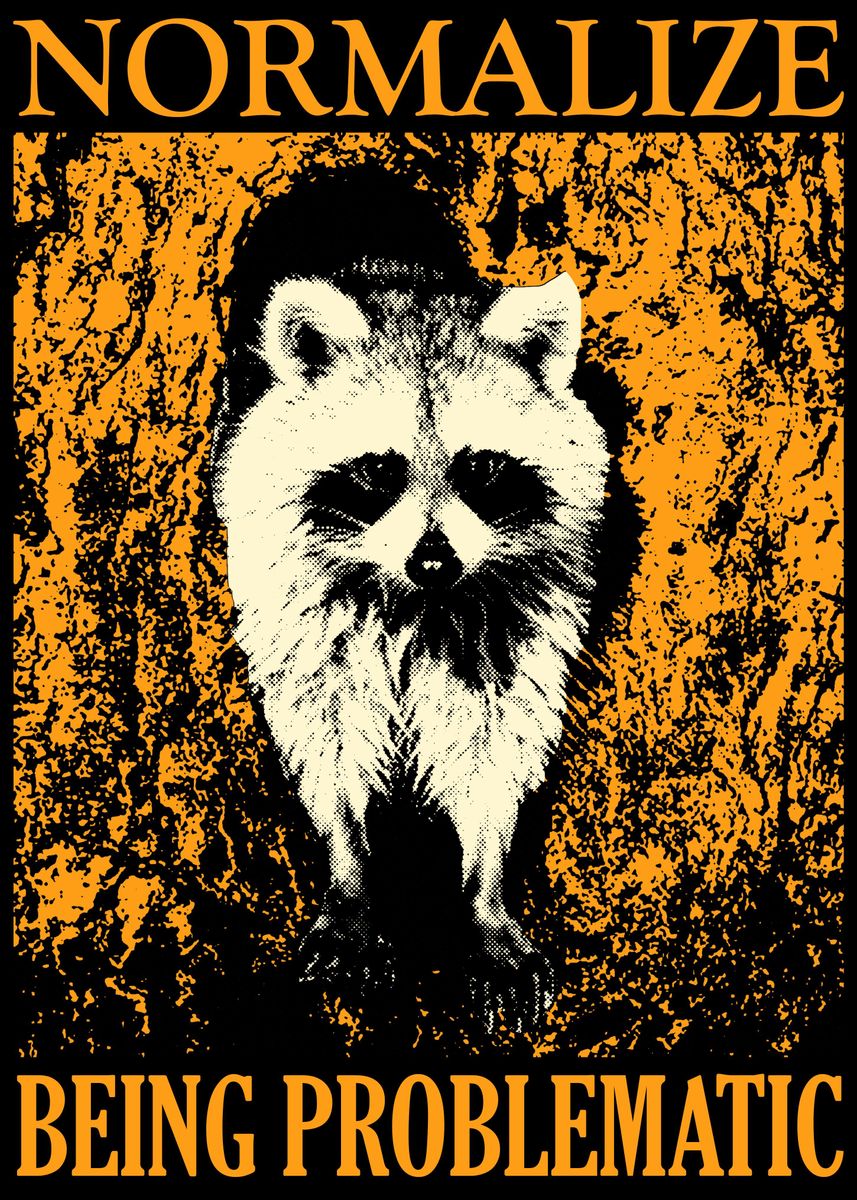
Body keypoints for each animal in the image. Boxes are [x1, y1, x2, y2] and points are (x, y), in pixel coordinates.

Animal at [211, 171, 612, 1028]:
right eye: (376, 469)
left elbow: (495, 739)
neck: (414, 599)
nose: (433, 561)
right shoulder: (290, 593)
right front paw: (351, 876)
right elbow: (323, 735)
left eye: (481, 466)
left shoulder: (516, 613)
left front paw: (485, 893)